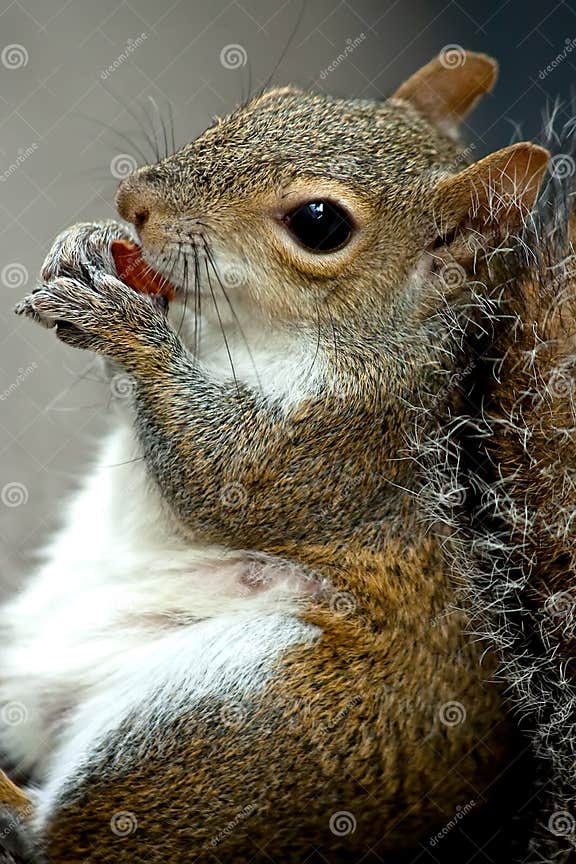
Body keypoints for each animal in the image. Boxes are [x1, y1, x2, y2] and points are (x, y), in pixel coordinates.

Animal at [0, 50, 553, 862]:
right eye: (270, 101)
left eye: (319, 224)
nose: (134, 202)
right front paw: (85, 242)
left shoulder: (348, 444)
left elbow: (218, 475)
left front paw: (124, 324)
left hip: (246, 716)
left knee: (62, 841)